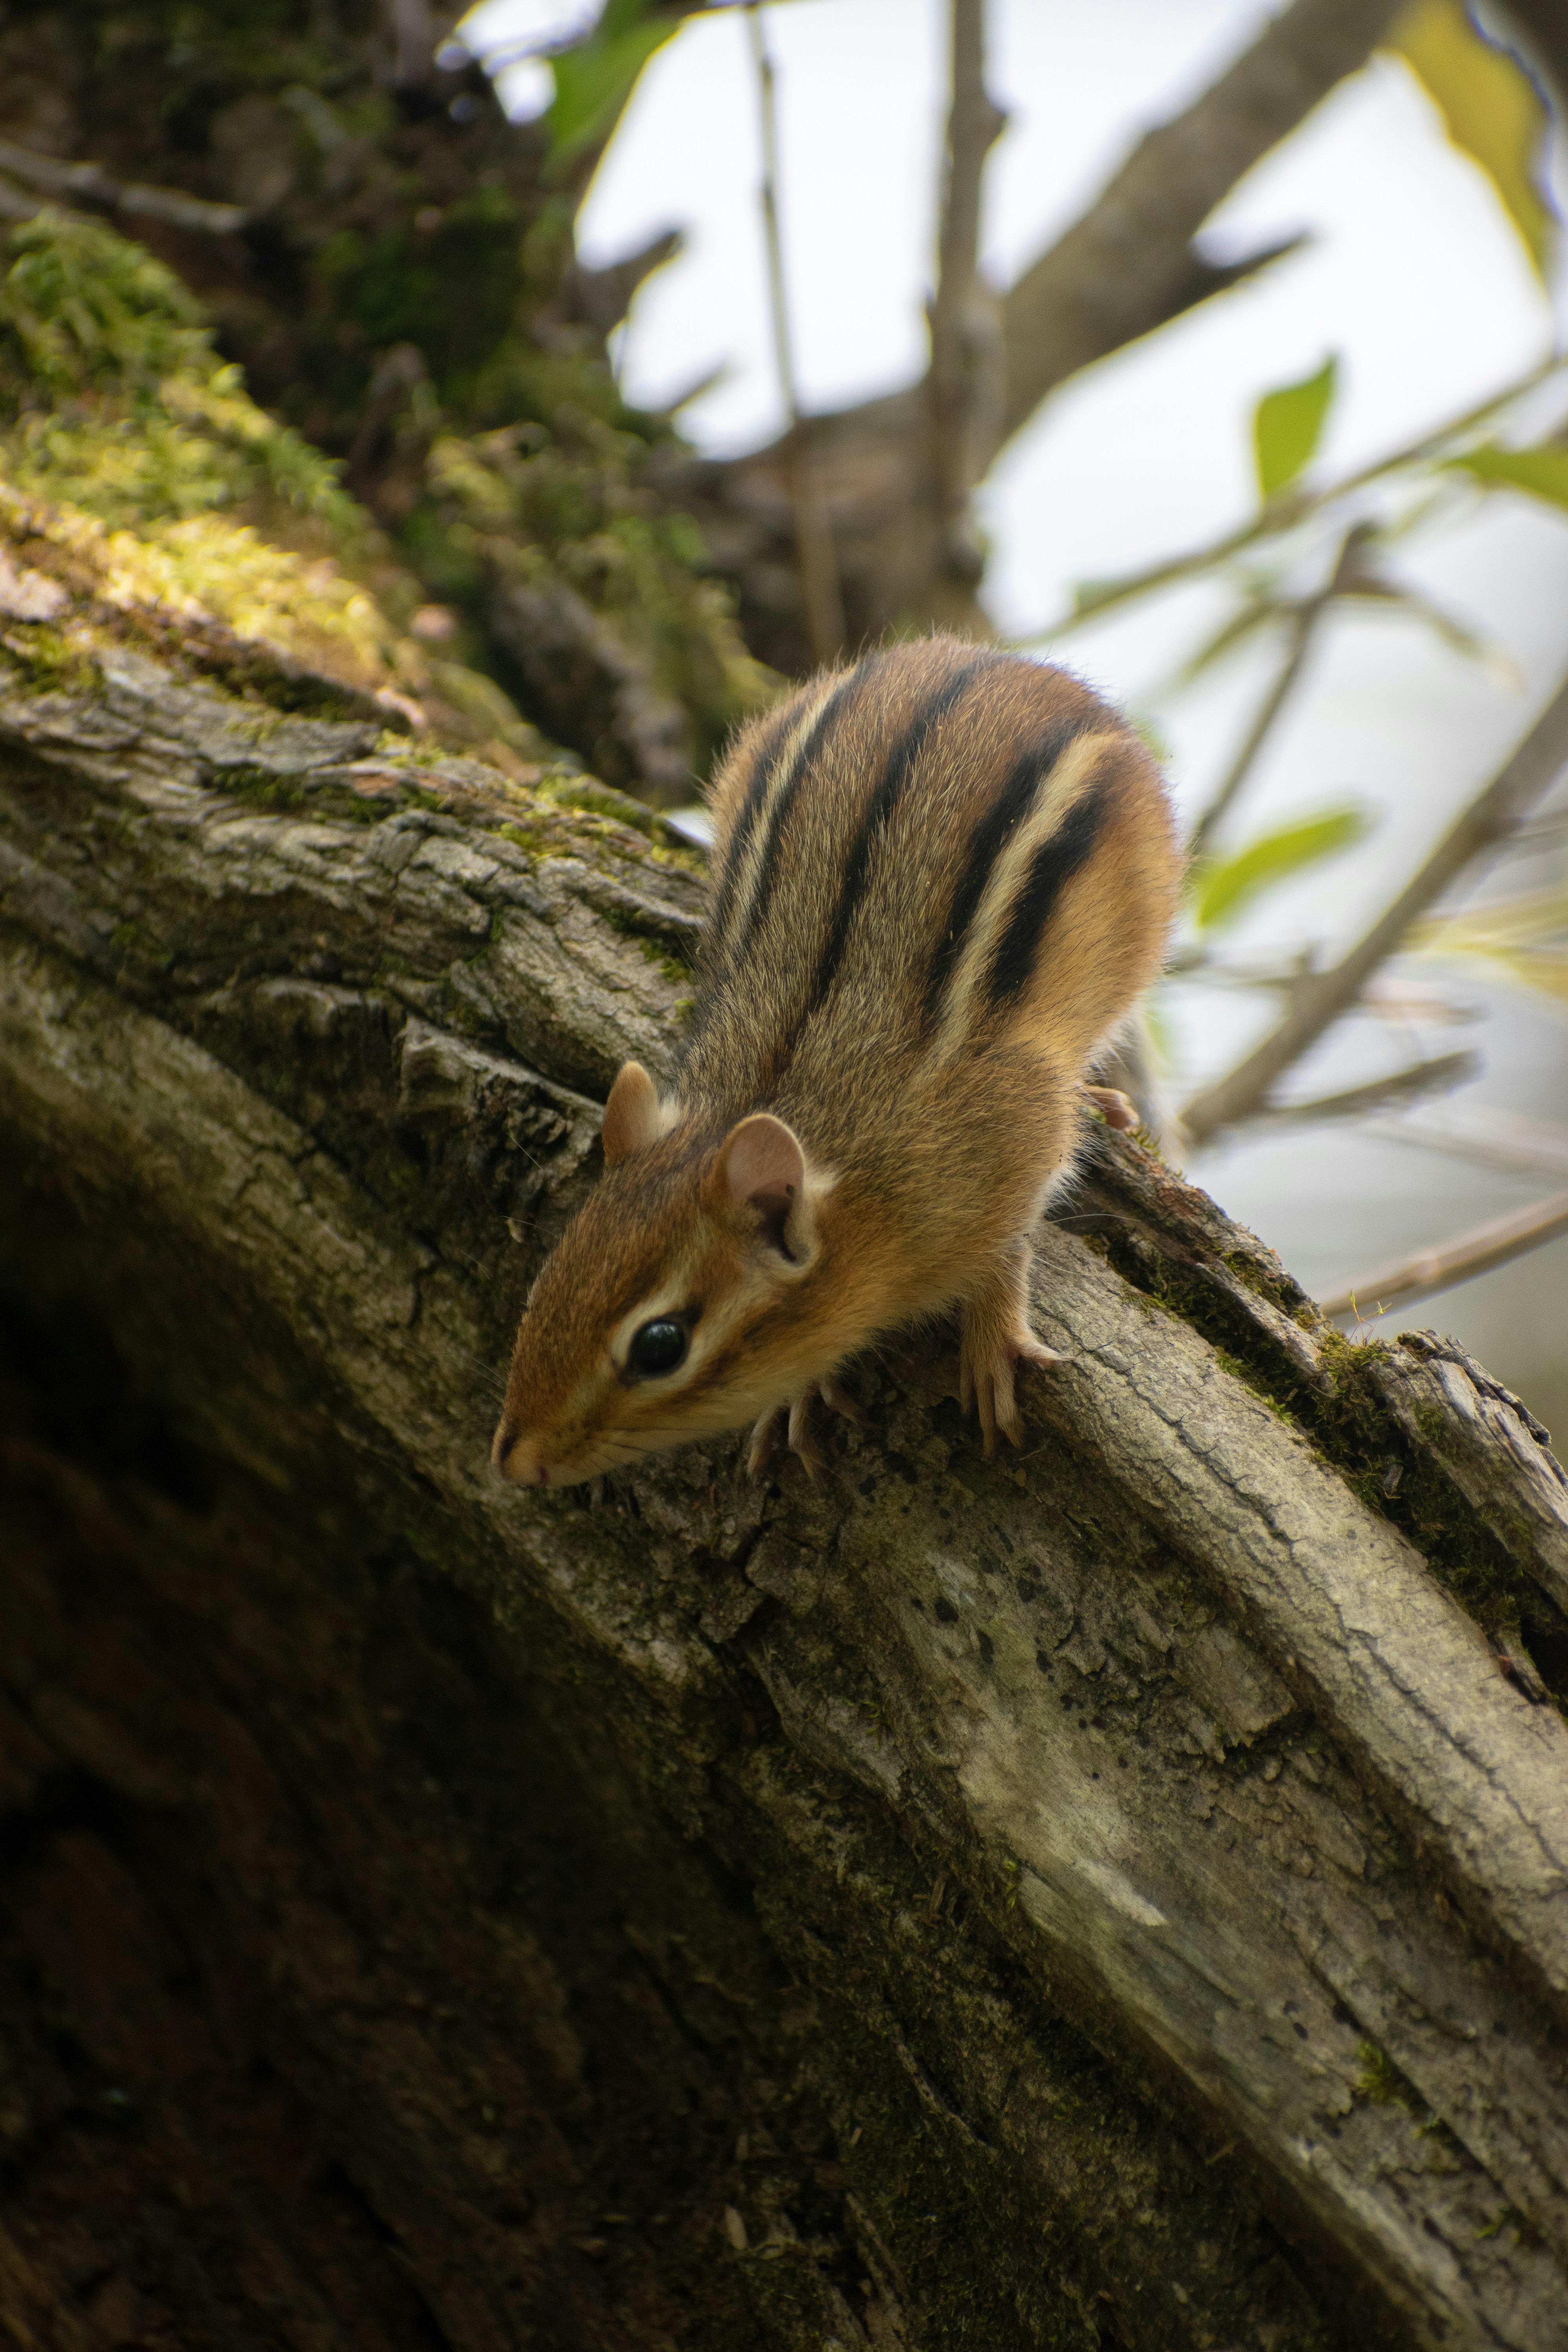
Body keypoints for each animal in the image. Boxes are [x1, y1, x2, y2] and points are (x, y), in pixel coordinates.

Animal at [492, 635, 1180, 1490]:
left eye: (659, 1346)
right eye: (548, 1276)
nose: (515, 1462)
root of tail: (990, 657)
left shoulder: (1010, 1142)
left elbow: (1011, 1246)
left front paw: (993, 1342)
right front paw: (800, 1396)